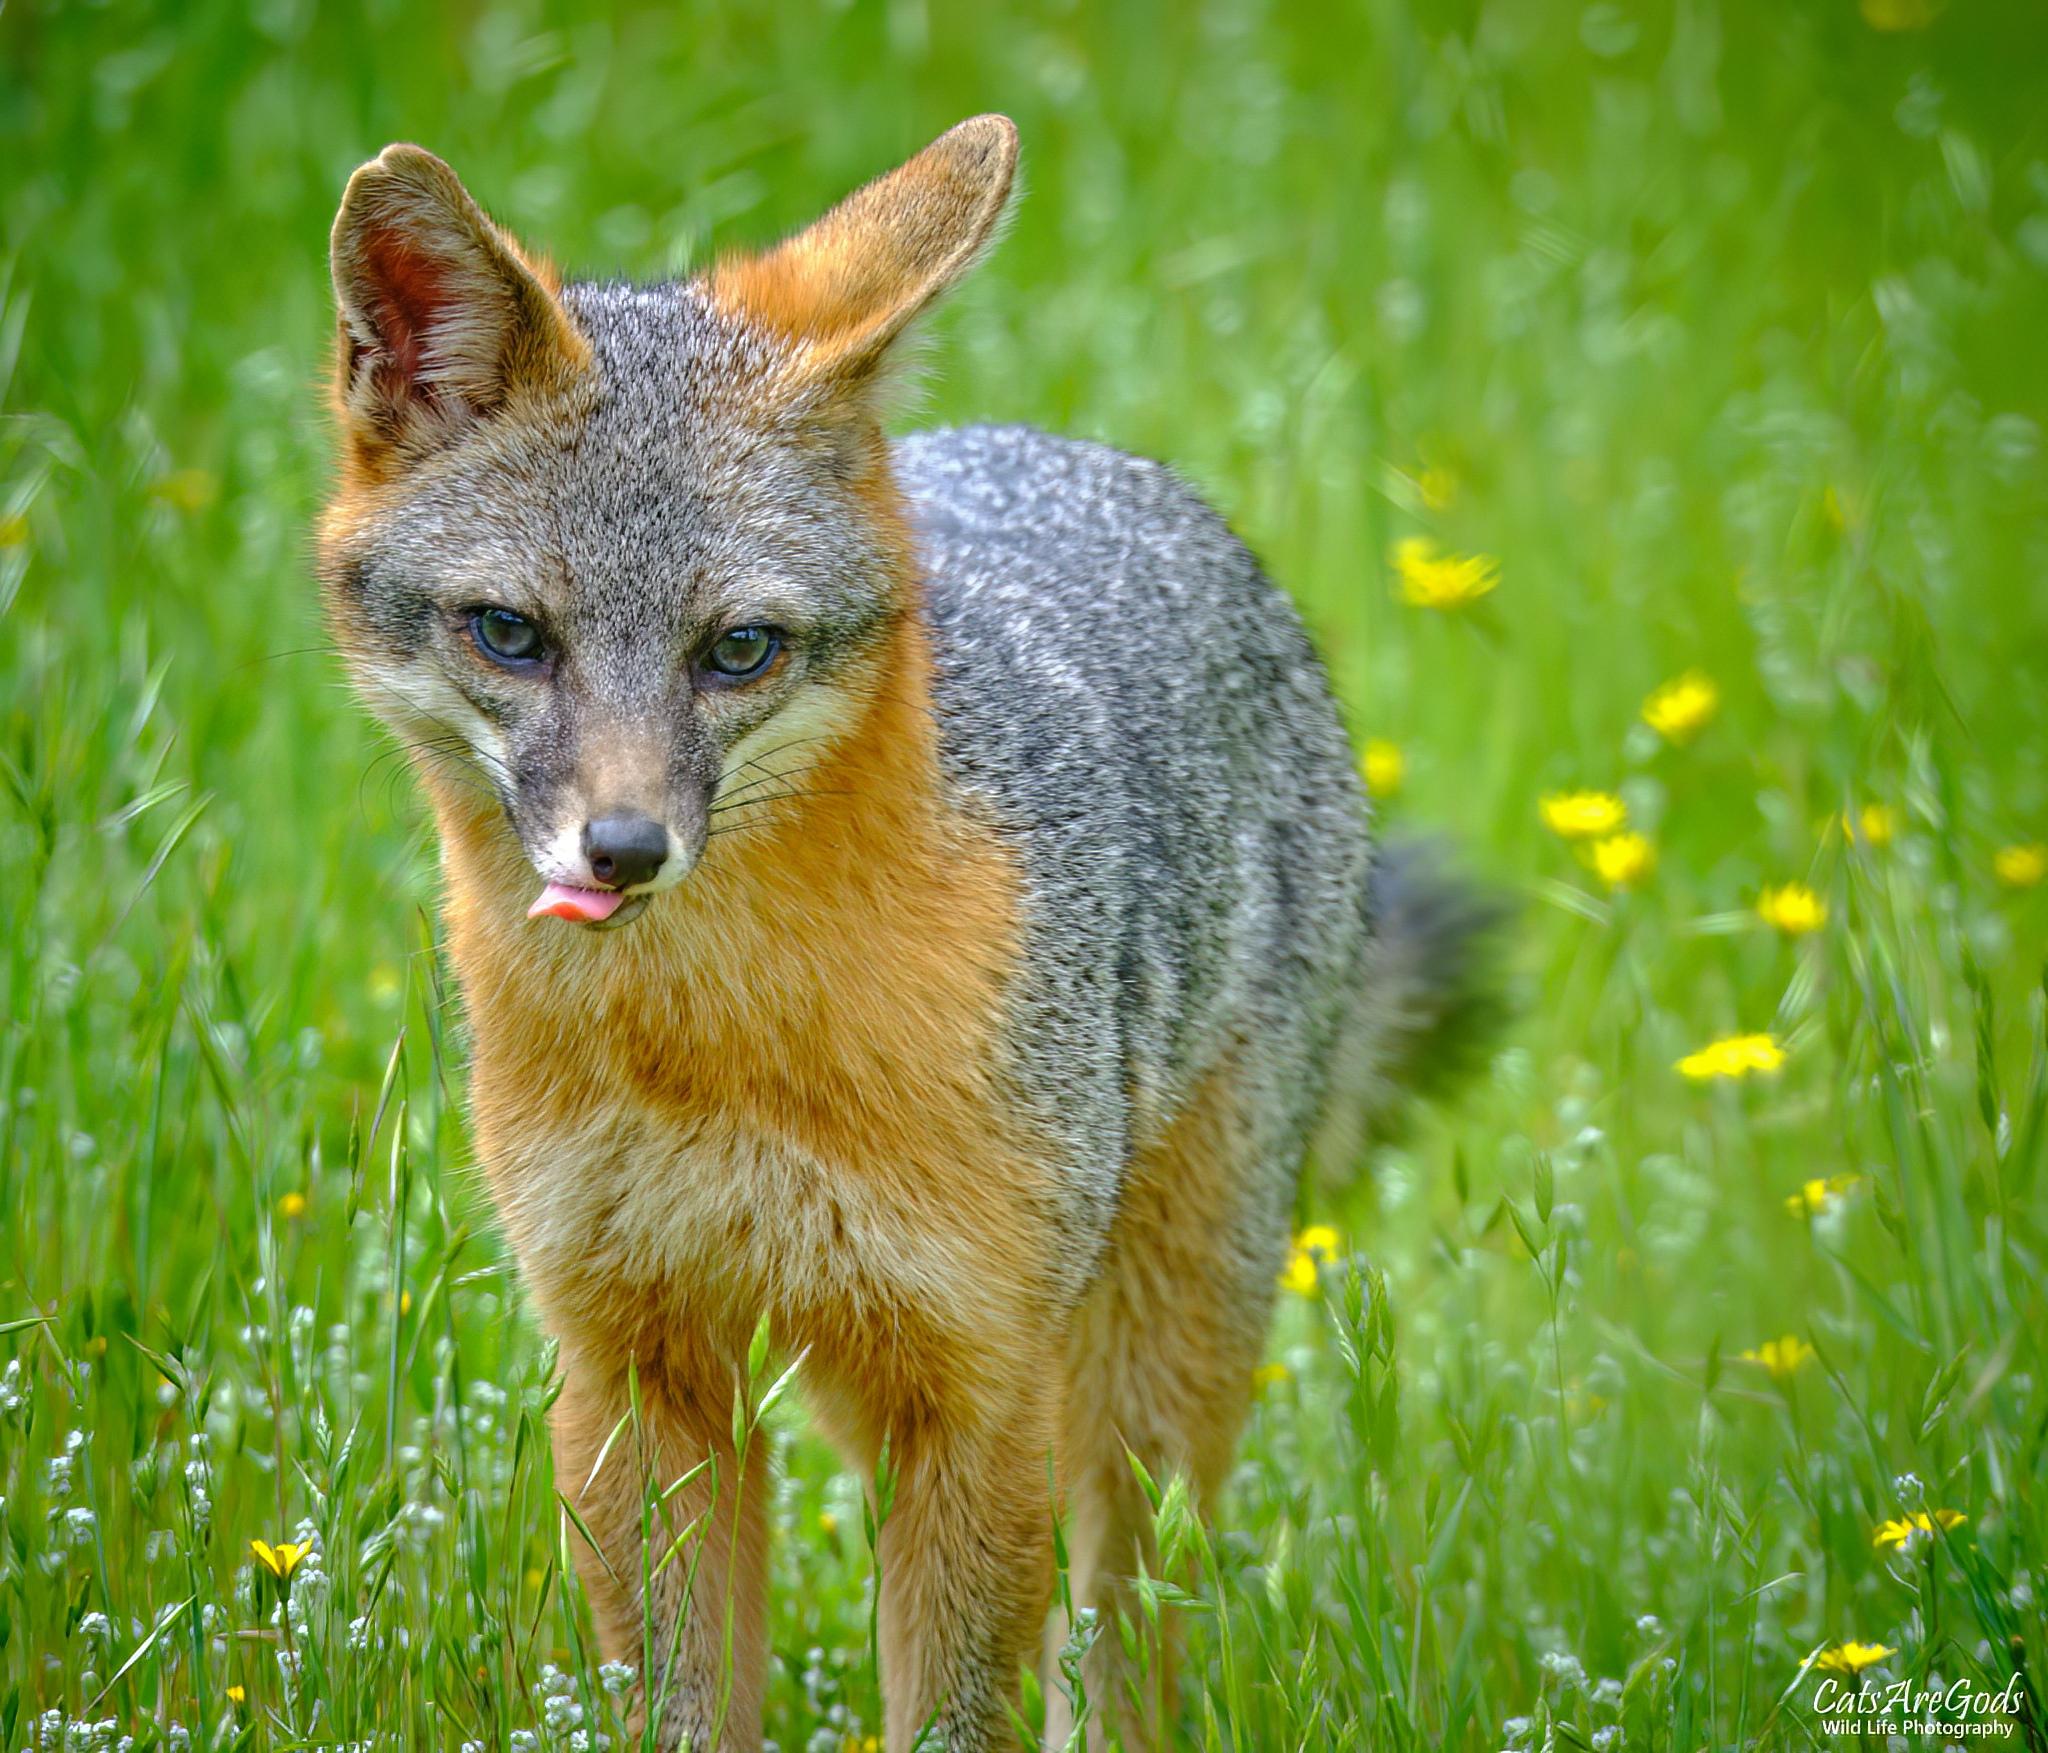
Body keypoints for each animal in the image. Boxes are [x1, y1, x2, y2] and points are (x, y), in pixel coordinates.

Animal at [318, 115, 1497, 1751]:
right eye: (510, 634)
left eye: (737, 650)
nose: (624, 850)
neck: (715, 1051)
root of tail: (1094, 461)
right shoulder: (633, 1366)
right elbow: (684, 1701)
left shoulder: (975, 1378)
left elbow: (957, 1707)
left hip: (1146, 1367)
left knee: (1125, 1641)